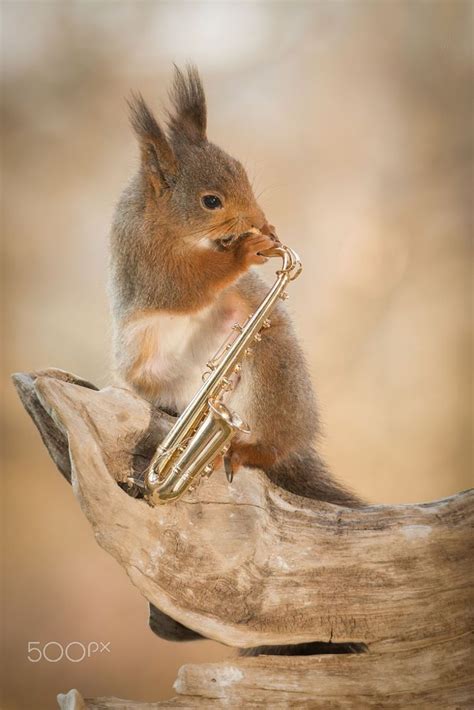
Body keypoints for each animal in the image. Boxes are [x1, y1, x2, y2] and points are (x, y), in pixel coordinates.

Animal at [109, 65, 362, 512]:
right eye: (211, 201)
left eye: (243, 171)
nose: (263, 224)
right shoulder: (145, 265)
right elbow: (183, 288)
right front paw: (247, 251)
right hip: (150, 377)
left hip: (272, 370)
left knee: (271, 446)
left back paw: (242, 451)